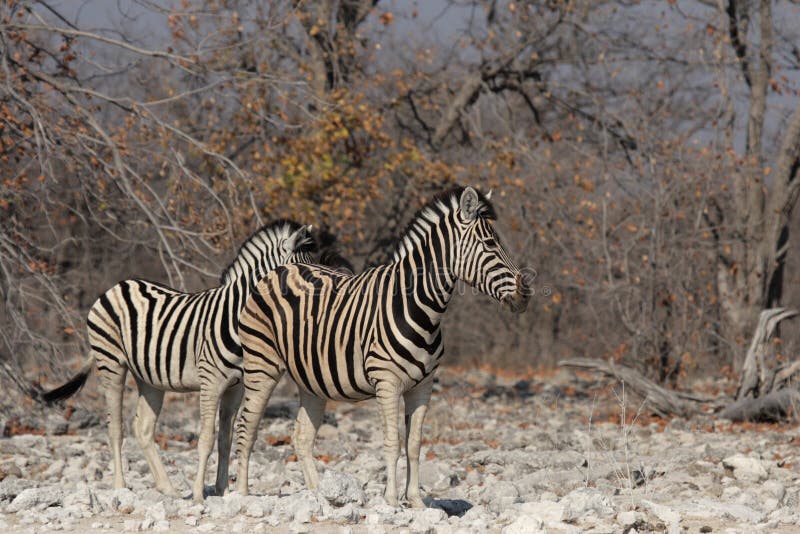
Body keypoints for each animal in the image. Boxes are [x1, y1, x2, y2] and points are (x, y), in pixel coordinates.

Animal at [43, 220, 318, 502]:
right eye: (303, 273)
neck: (236, 320)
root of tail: (118, 285)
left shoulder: (236, 387)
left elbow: (225, 439)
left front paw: (222, 490)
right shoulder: (211, 382)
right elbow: (206, 438)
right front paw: (198, 494)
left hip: (149, 377)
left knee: (143, 427)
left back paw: (167, 487)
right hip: (111, 362)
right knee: (115, 426)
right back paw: (120, 486)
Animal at [233, 186, 529, 508]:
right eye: (490, 244)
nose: (525, 293)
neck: (419, 308)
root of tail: (283, 267)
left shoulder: (424, 386)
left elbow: (414, 444)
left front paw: (416, 501)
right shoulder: (387, 382)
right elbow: (393, 442)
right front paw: (390, 501)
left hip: (311, 379)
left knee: (301, 436)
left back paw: (318, 496)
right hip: (261, 365)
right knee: (247, 426)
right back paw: (242, 494)